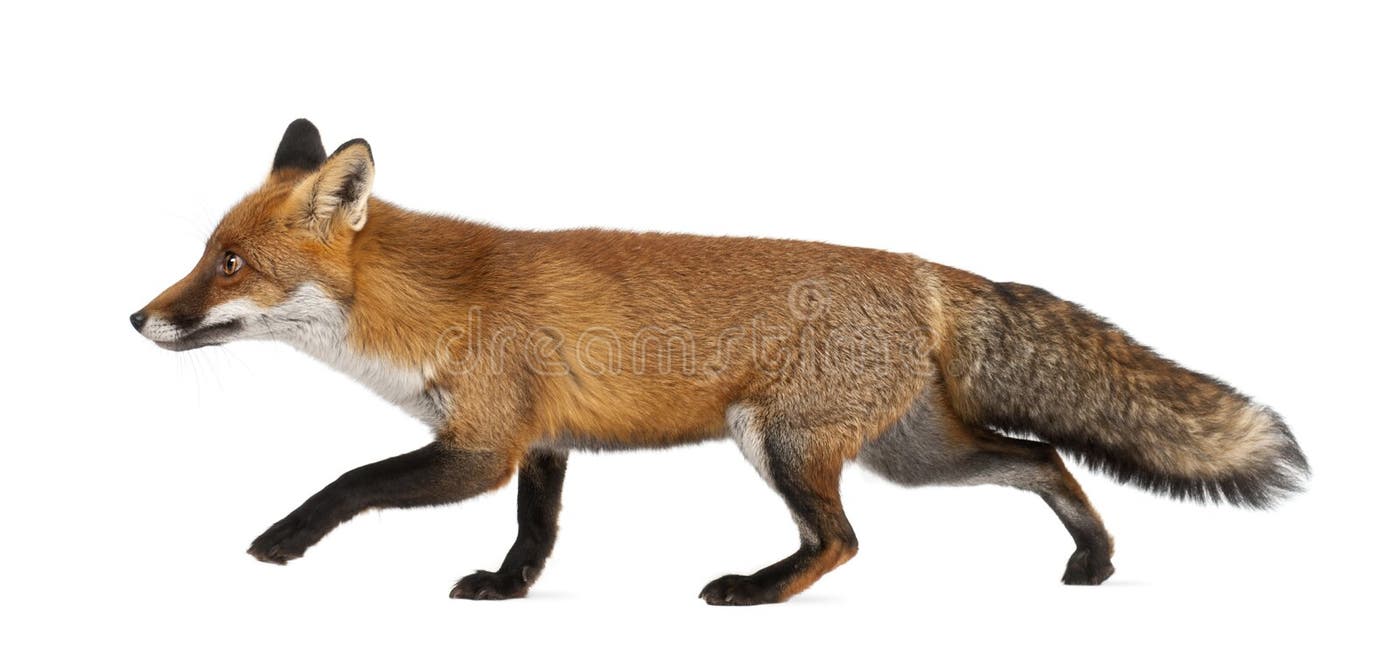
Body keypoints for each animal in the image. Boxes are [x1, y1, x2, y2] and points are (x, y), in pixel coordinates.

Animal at [132, 119, 1309, 605]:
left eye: (228, 262)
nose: (138, 318)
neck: (425, 301)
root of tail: (923, 268)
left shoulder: (482, 443)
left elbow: (349, 480)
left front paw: (279, 542)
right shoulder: (545, 442)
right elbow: (535, 533)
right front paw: (507, 592)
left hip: (781, 441)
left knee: (843, 540)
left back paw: (757, 589)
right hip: (916, 454)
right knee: (1044, 459)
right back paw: (1093, 561)